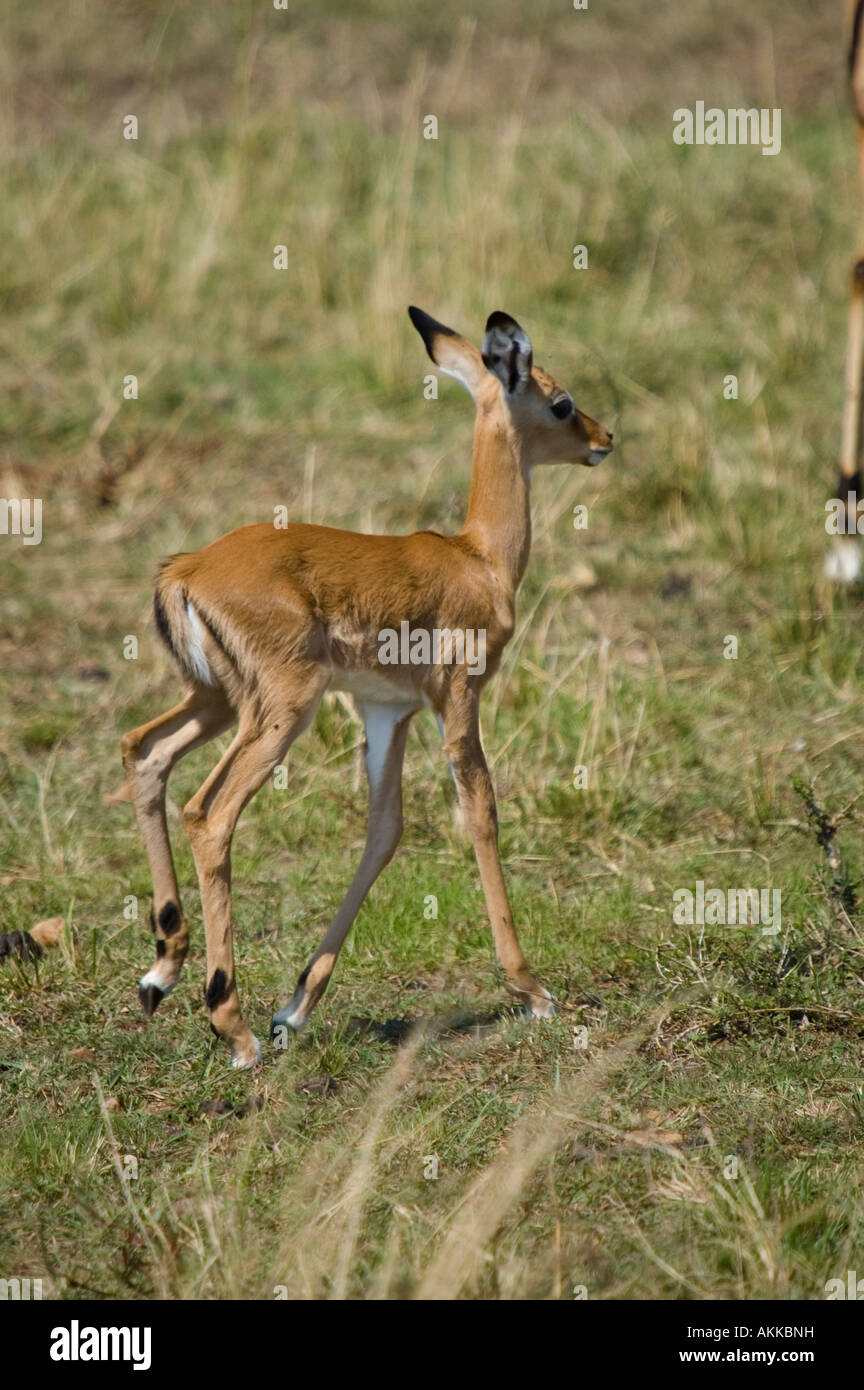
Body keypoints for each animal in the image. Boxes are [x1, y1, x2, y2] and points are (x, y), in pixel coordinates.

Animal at [120, 308, 613, 1067]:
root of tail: (187, 569)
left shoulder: (386, 711)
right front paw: (532, 990)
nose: (602, 439)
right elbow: (480, 812)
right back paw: (231, 1026)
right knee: (209, 812)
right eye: (560, 401)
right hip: (281, 709)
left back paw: (161, 975)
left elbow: (384, 832)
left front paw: (296, 1007)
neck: (479, 561)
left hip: (218, 701)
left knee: (145, 752)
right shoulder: (457, 700)